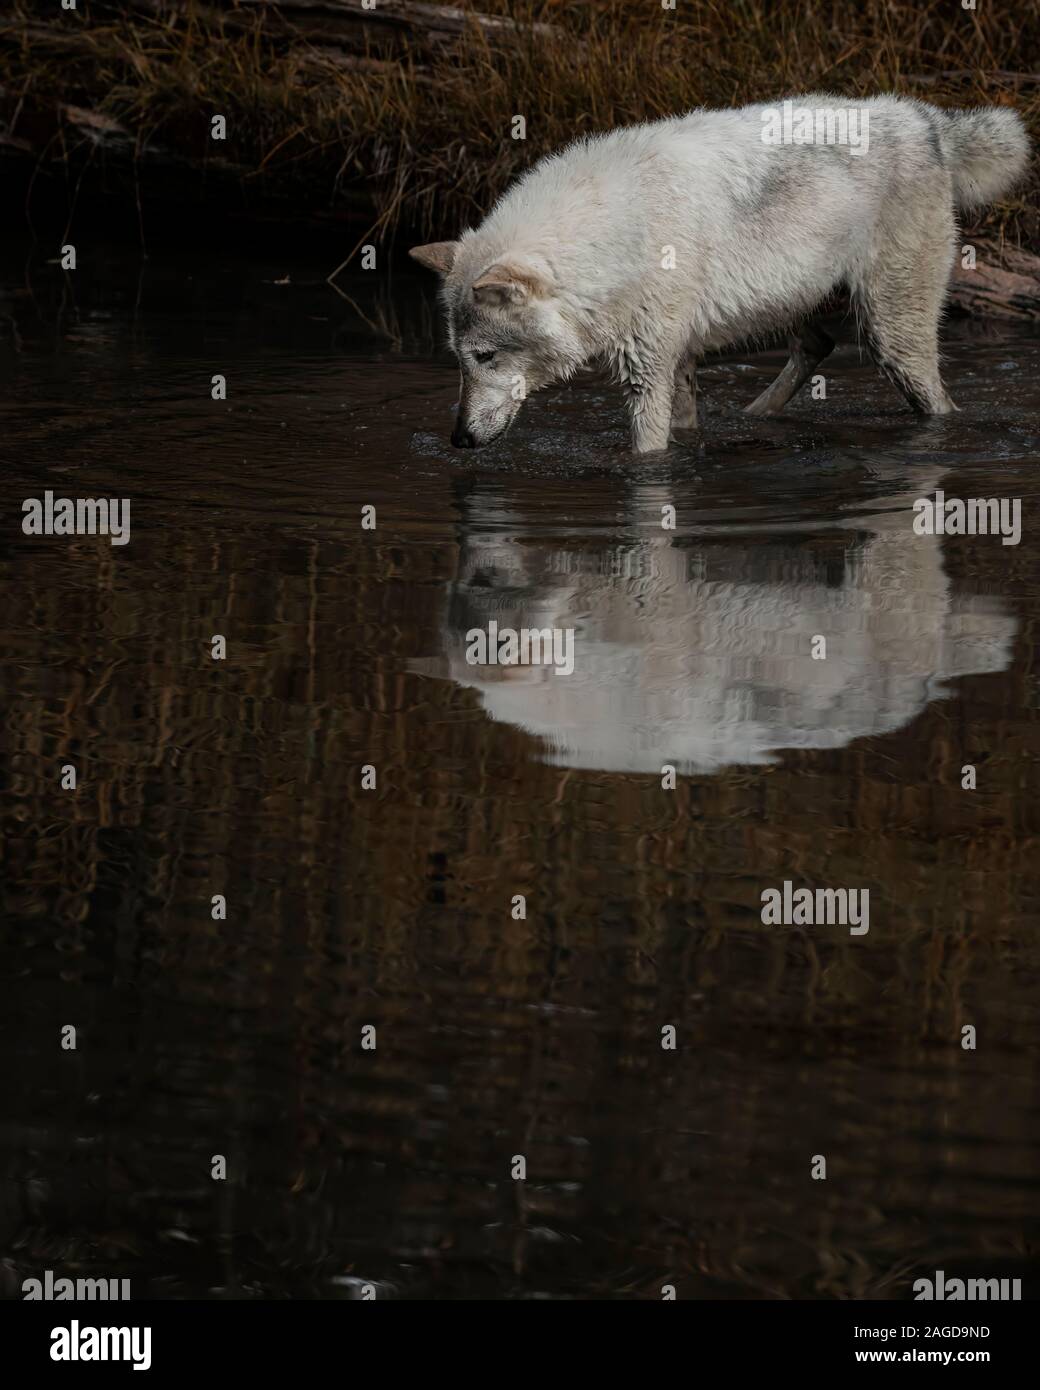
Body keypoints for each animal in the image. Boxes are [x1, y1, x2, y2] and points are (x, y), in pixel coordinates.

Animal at [410, 95, 1029, 453]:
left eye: (485, 357)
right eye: (459, 360)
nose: (458, 439)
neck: (619, 235)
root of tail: (929, 120)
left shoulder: (647, 370)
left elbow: (648, 453)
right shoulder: (675, 360)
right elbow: (686, 426)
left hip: (890, 335)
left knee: (936, 401)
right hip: (791, 301)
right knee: (818, 343)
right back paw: (756, 418)